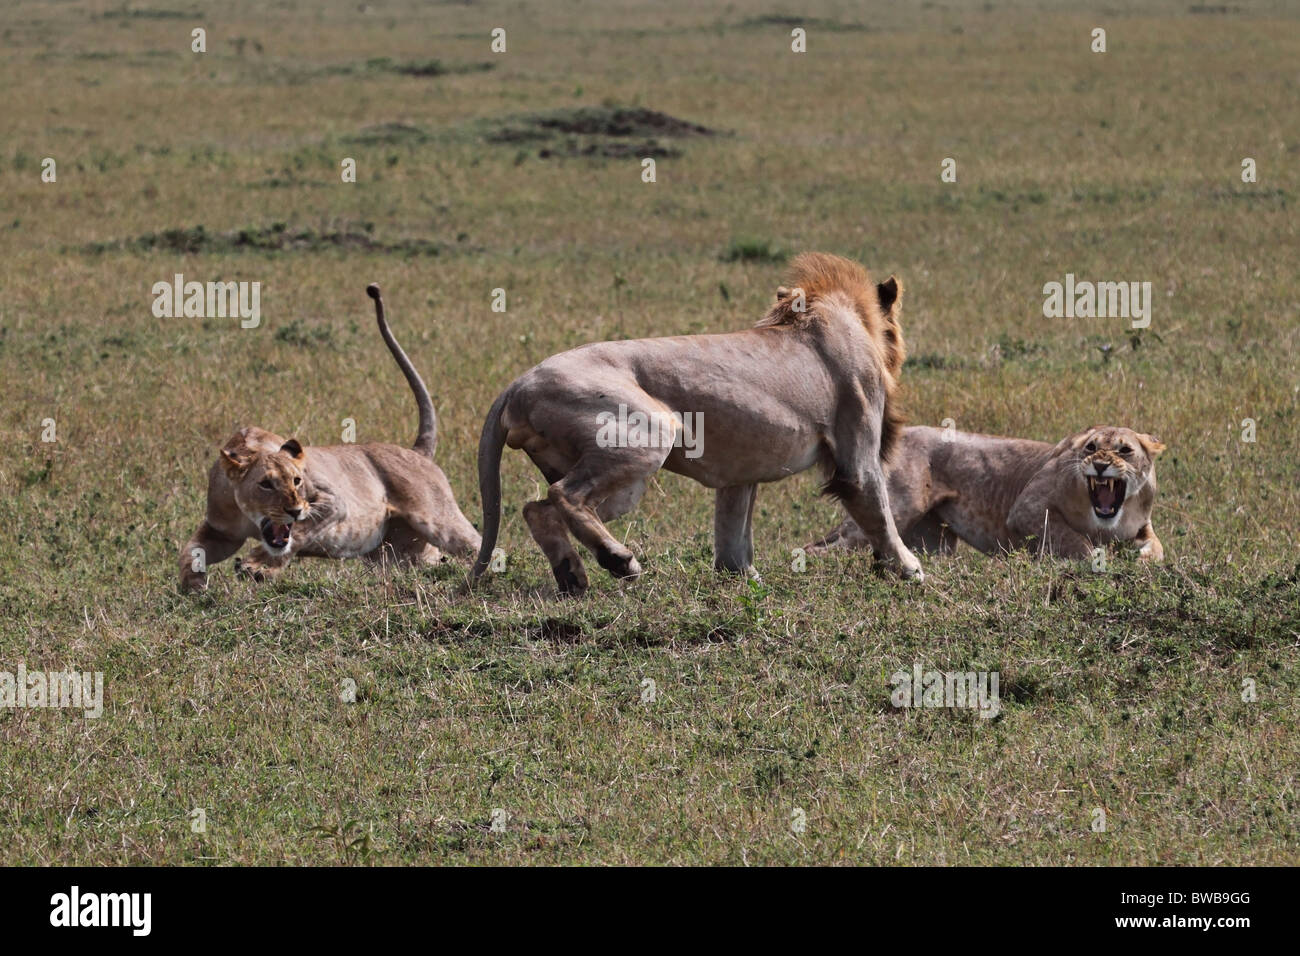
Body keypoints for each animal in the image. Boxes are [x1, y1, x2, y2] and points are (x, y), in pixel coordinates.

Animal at [178, 284, 480, 592]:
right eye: (265, 484)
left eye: (297, 481)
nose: (294, 509)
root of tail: (416, 452)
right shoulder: (222, 530)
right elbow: (191, 550)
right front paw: (193, 585)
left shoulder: (333, 502)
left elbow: (299, 532)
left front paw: (257, 566)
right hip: (404, 551)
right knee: (432, 560)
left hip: (440, 521)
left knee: (476, 543)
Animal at [470, 252, 923, 595]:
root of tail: (516, 385)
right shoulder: (857, 454)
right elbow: (879, 510)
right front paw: (909, 568)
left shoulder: (741, 471)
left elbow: (732, 533)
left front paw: (743, 578)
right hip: (650, 434)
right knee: (565, 494)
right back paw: (619, 561)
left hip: (609, 481)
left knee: (537, 508)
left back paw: (572, 576)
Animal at [807, 424, 1165, 563]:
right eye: (1091, 447)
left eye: (1125, 450)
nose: (1101, 465)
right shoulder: (1026, 509)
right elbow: (1077, 542)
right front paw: (1097, 558)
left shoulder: (1142, 526)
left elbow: (1158, 547)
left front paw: (1142, 559)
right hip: (896, 508)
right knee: (821, 547)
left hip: (935, 541)